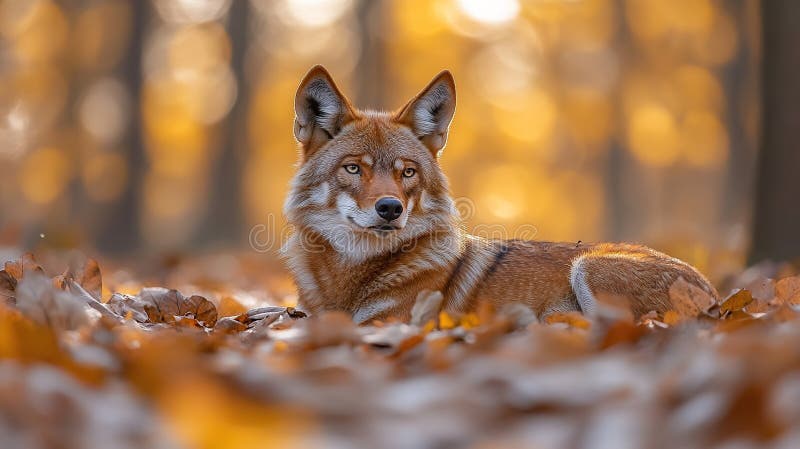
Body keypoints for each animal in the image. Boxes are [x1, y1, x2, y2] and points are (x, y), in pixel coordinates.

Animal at [282, 65, 718, 324]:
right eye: (353, 168)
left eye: (407, 172)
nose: (390, 208)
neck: (349, 278)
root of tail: (715, 296)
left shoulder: (388, 325)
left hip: (589, 268)